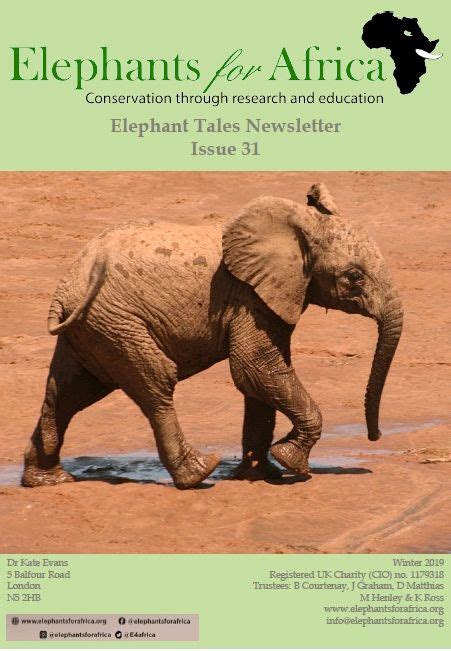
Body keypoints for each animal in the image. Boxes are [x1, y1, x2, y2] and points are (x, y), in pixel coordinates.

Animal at [22, 182, 403, 489]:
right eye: (354, 276)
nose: (375, 436)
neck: (302, 225)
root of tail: (69, 284)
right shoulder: (249, 296)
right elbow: (254, 368)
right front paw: (291, 462)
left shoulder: (269, 296)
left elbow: (260, 378)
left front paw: (260, 474)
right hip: (117, 323)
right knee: (156, 384)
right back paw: (199, 474)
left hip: (91, 329)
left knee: (67, 393)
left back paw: (46, 480)